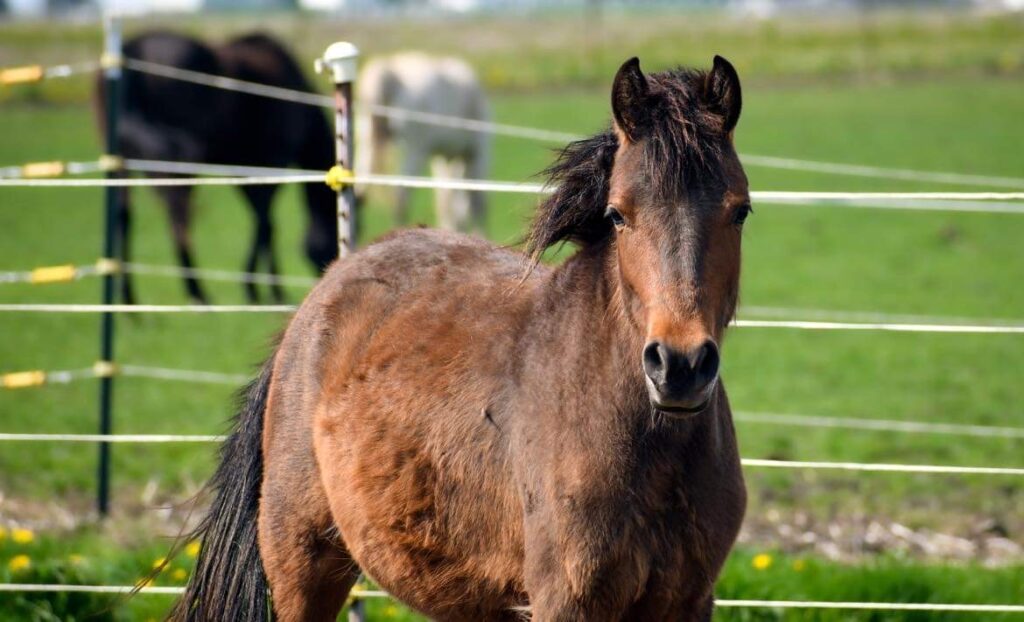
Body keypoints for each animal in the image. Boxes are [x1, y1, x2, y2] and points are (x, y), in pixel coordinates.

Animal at [94, 31, 337, 305]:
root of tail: (133, 46)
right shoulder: (270, 163)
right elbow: (266, 224)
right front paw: (266, 290)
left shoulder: (242, 168)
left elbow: (262, 222)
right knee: (178, 218)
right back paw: (196, 293)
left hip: (120, 160)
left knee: (124, 217)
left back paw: (129, 300)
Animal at [355, 52, 491, 233]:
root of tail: (389, 74)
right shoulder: (476, 154)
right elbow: (475, 204)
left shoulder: (443, 157)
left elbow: (446, 201)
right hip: (414, 151)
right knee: (401, 196)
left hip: (367, 142)